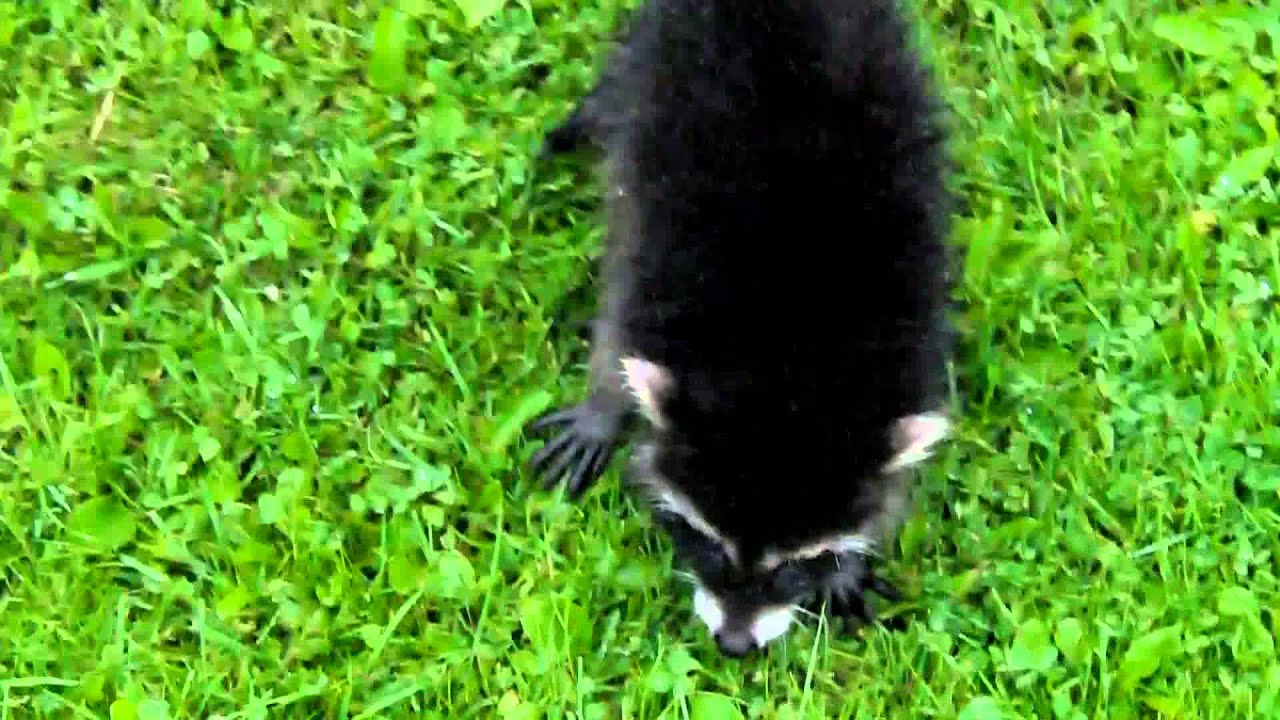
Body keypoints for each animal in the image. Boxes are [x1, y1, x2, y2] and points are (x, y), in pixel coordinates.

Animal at [527, 0, 955, 657]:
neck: (790, 362)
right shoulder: (657, 267)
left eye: (793, 566)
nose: (733, 644)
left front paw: (853, 556)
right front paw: (603, 408)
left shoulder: (912, 335)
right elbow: (615, 324)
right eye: (709, 545)